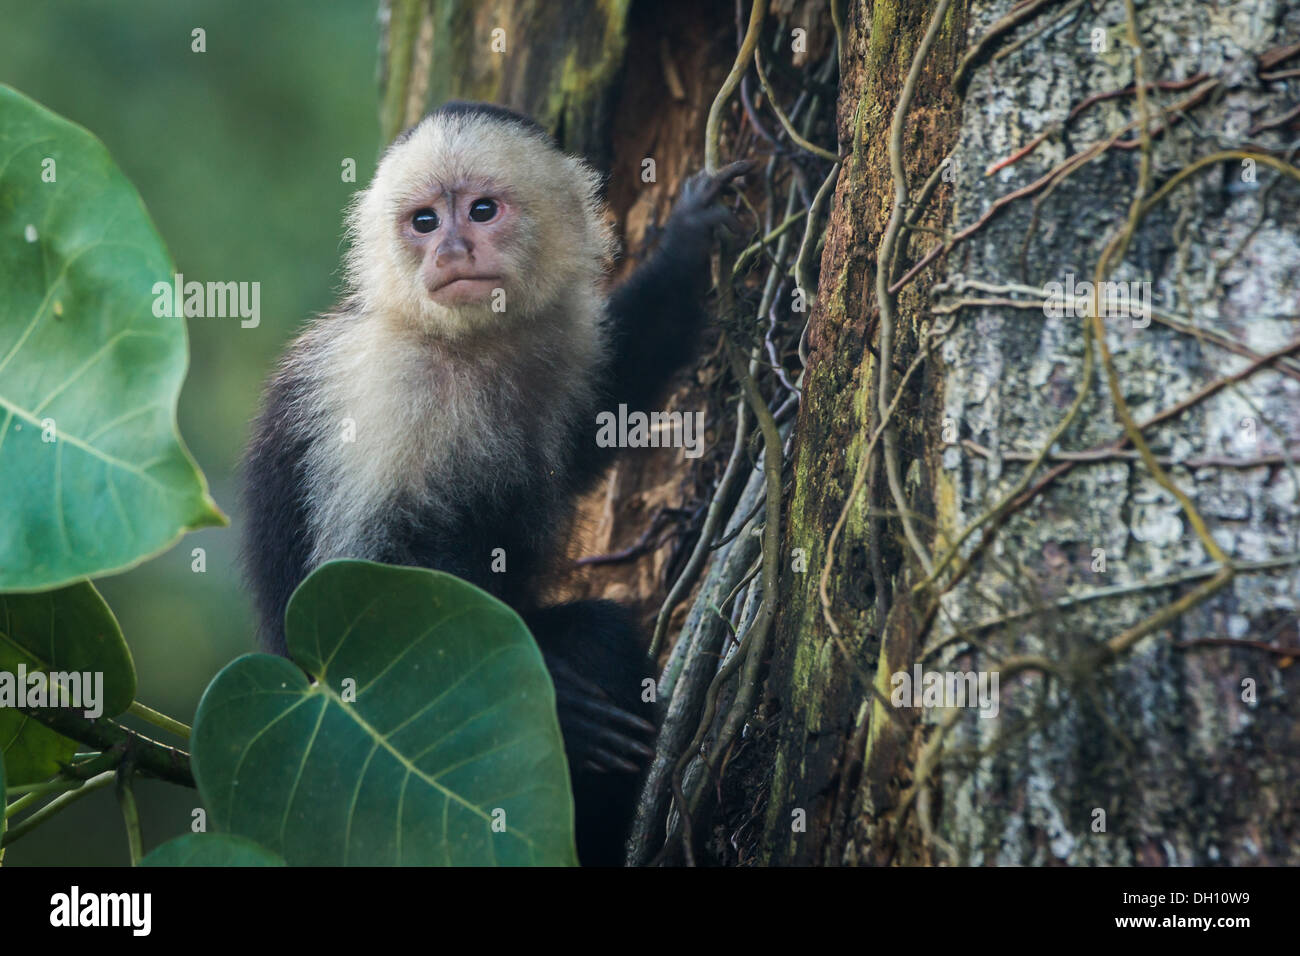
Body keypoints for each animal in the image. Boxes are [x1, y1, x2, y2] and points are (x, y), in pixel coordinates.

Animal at [240, 100, 749, 866]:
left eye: (482, 210)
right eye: (423, 221)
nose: (450, 250)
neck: (467, 347)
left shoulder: (555, 343)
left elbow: (600, 420)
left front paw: (683, 248)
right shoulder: (386, 386)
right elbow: (361, 587)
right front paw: (563, 696)